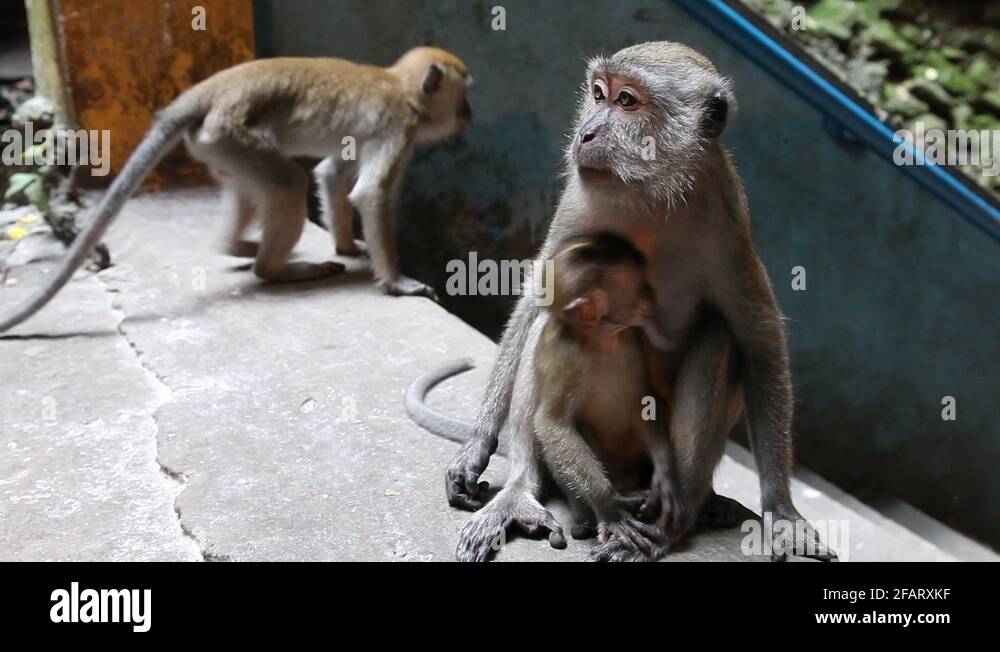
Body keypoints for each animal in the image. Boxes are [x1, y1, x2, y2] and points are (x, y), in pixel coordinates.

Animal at [0, 47, 473, 333]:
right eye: (461, 96)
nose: (469, 113)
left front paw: (348, 247)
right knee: (288, 183)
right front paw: (396, 282)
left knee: (260, 186)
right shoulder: (400, 127)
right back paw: (274, 268)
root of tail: (209, 89)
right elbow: (371, 194)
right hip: (232, 133)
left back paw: (239, 247)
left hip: (219, 145)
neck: (401, 87)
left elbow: (333, 175)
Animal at [410, 41, 837, 562]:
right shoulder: (579, 199)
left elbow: (761, 345)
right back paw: (522, 490)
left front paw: (782, 510)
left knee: (719, 338)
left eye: (627, 101)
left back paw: (679, 519)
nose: (587, 132)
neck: (649, 192)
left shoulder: (728, 221)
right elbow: (534, 304)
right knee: (547, 329)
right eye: (598, 94)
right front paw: (477, 444)